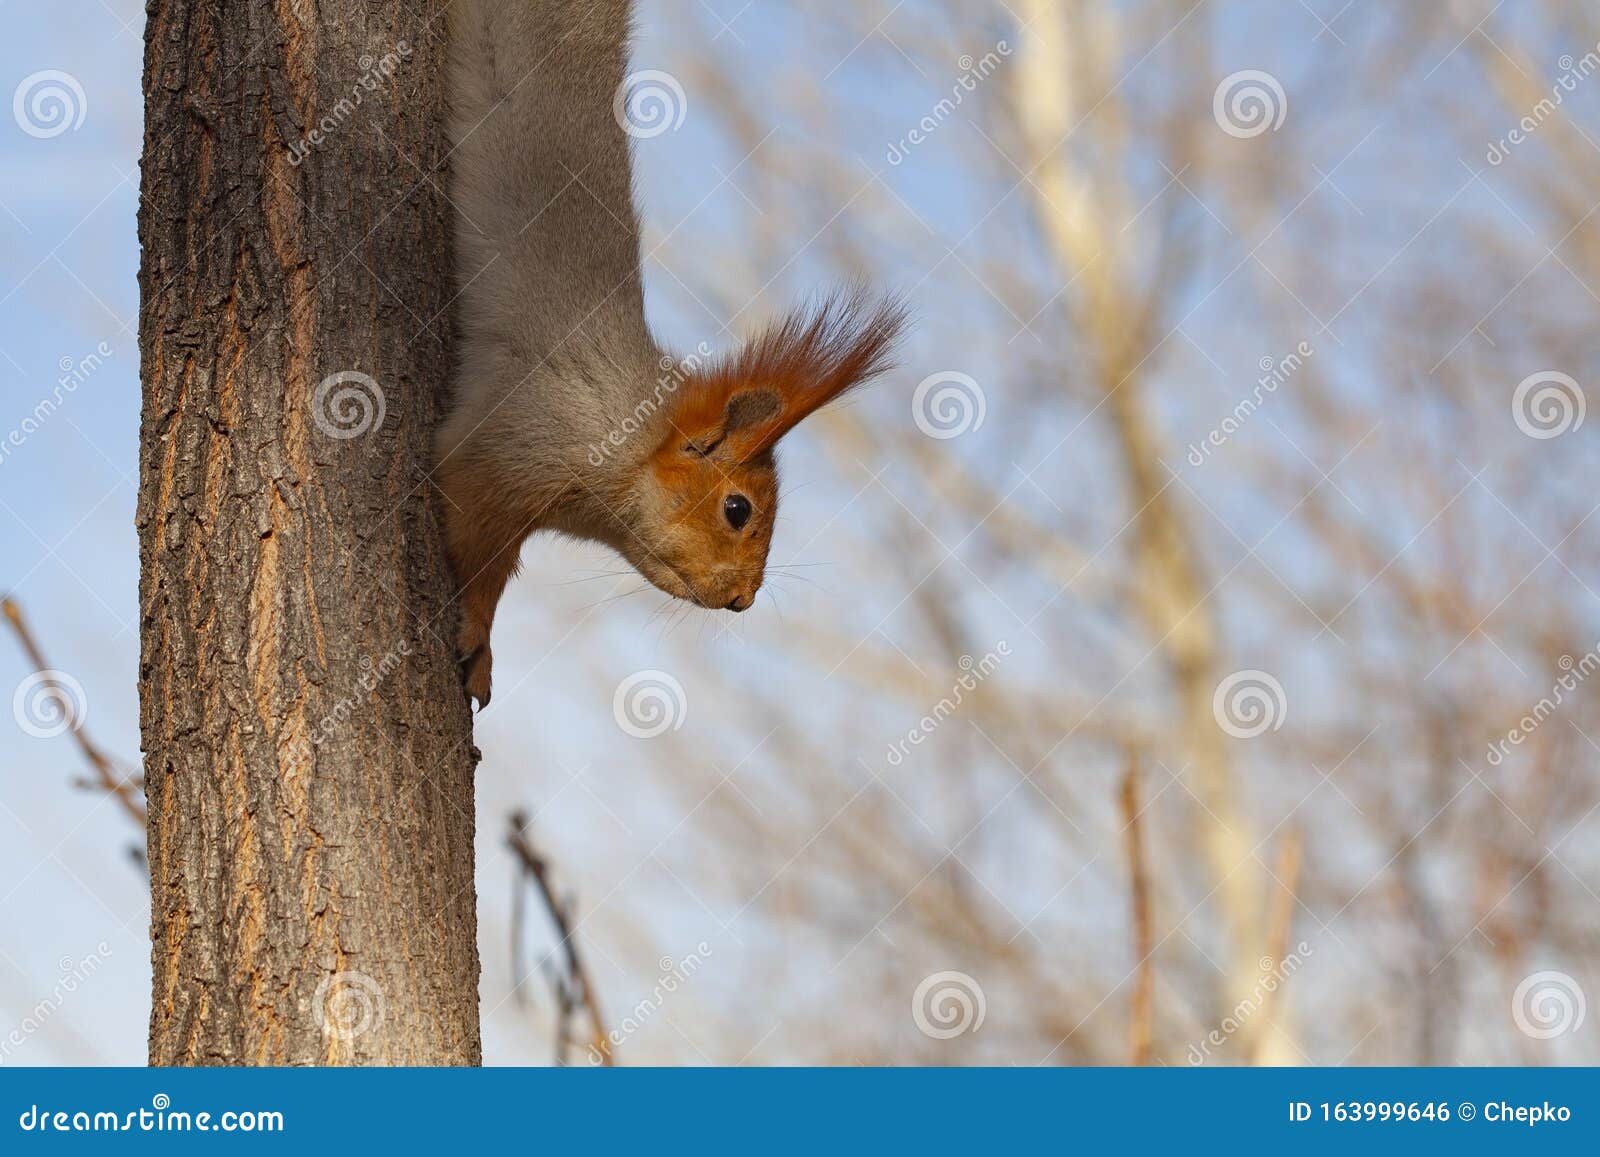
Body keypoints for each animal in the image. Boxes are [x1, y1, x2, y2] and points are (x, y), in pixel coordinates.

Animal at [438, 0, 906, 707]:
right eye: (737, 509)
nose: (742, 601)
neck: (629, 433)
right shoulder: (519, 439)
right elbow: (473, 537)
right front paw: (477, 631)